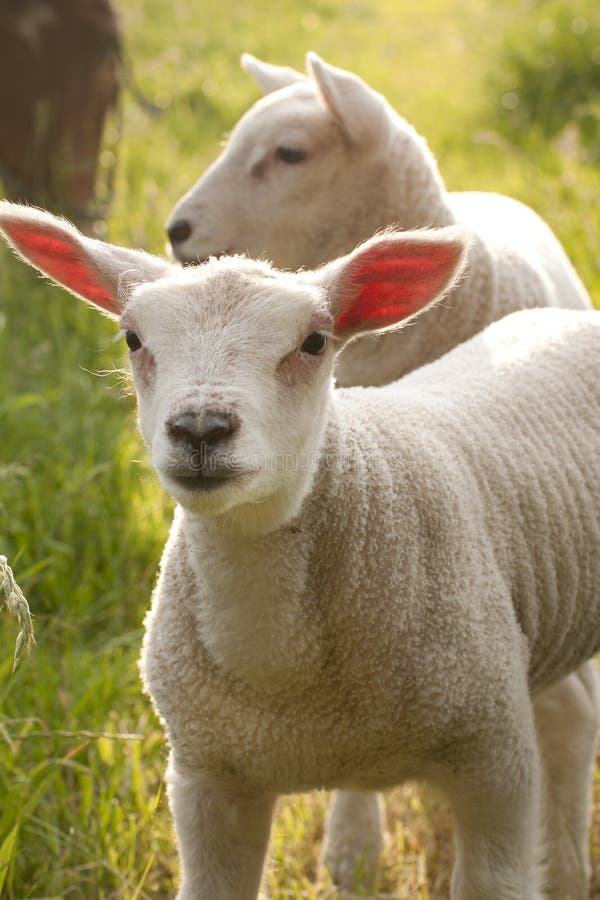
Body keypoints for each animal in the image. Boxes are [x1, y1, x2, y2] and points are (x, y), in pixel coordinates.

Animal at [2, 202, 600, 900]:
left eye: (314, 341)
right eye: (132, 339)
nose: (200, 429)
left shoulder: (493, 760)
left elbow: (496, 877)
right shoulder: (208, 777)